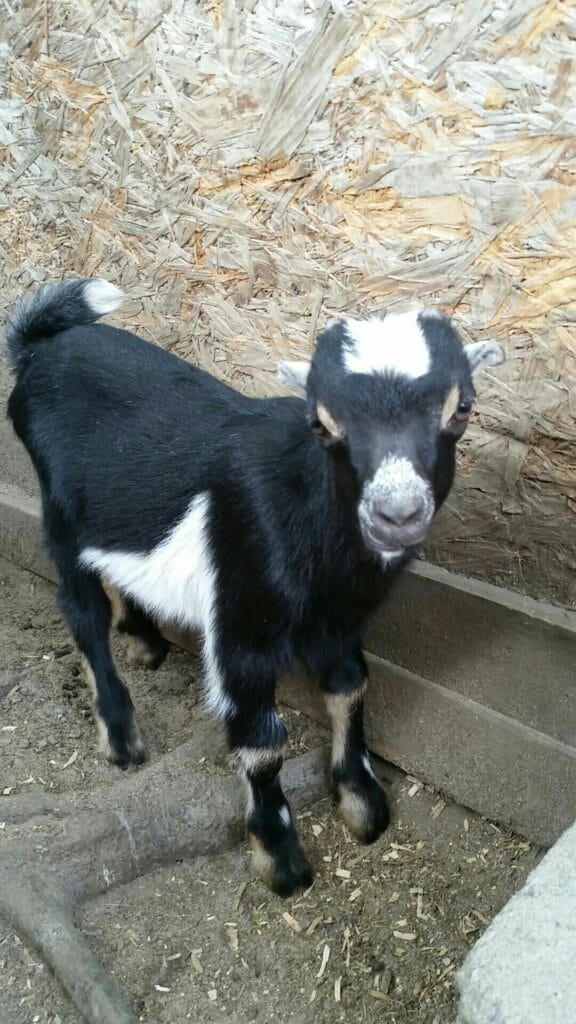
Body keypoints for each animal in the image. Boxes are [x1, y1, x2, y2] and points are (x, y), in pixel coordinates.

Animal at [6, 279, 505, 896]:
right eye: (320, 421)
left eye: (462, 408)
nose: (397, 515)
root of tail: (38, 349)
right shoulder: (243, 623)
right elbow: (262, 745)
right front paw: (280, 858)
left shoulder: (337, 621)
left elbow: (351, 688)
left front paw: (363, 803)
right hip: (60, 519)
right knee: (82, 614)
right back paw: (121, 737)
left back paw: (144, 639)